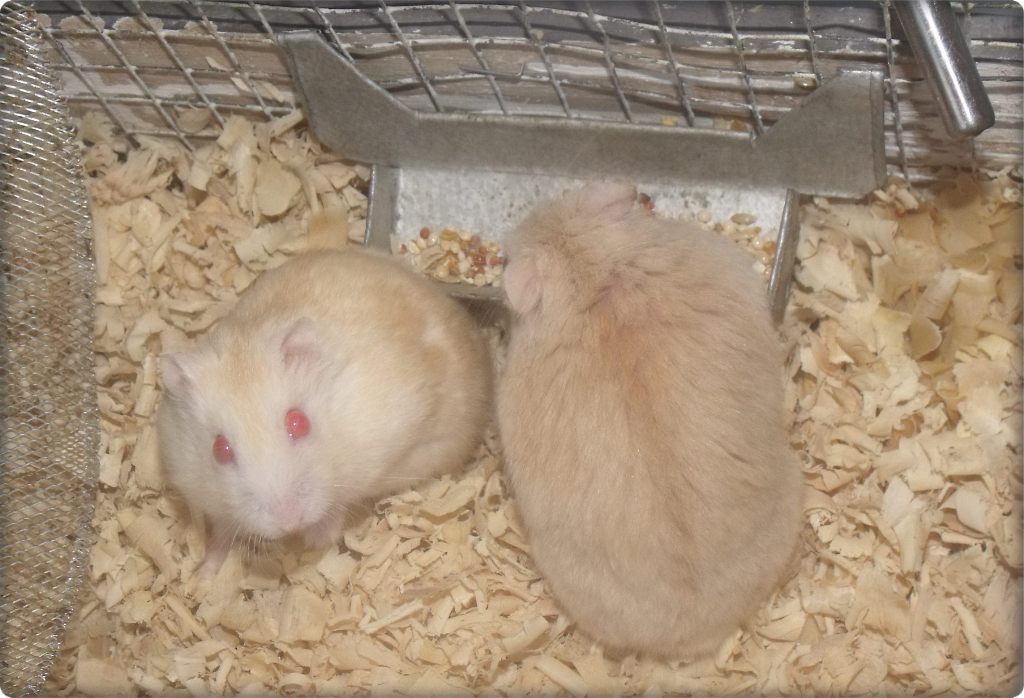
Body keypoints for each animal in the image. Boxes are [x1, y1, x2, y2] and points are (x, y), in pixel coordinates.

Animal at [157, 249, 492, 575]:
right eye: (220, 449)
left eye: (298, 422)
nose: (290, 522)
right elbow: (223, 531)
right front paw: (202, 575)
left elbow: (342, 499)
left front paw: (316, 539)